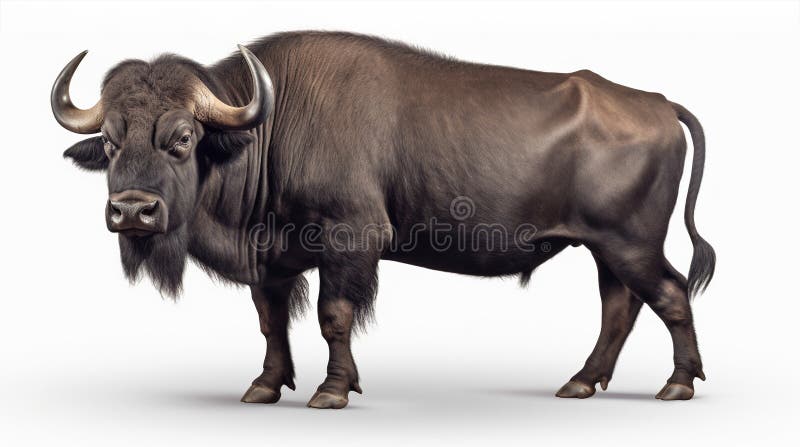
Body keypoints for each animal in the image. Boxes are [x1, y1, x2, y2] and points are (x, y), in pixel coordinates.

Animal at [52, 31, 714, 408]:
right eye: (110, 141)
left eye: (184, 138)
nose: (132, 210)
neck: (269, 123)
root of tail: (659, 103)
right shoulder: (274, 262)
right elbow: (271, 322)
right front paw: (264, 387)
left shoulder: (350, 242)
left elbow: (334, 316)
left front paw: (331, 391)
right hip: (604, 250)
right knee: (620, 307)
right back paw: (580, 382)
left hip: (629, 244)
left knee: (670, 294)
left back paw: (677, 386)